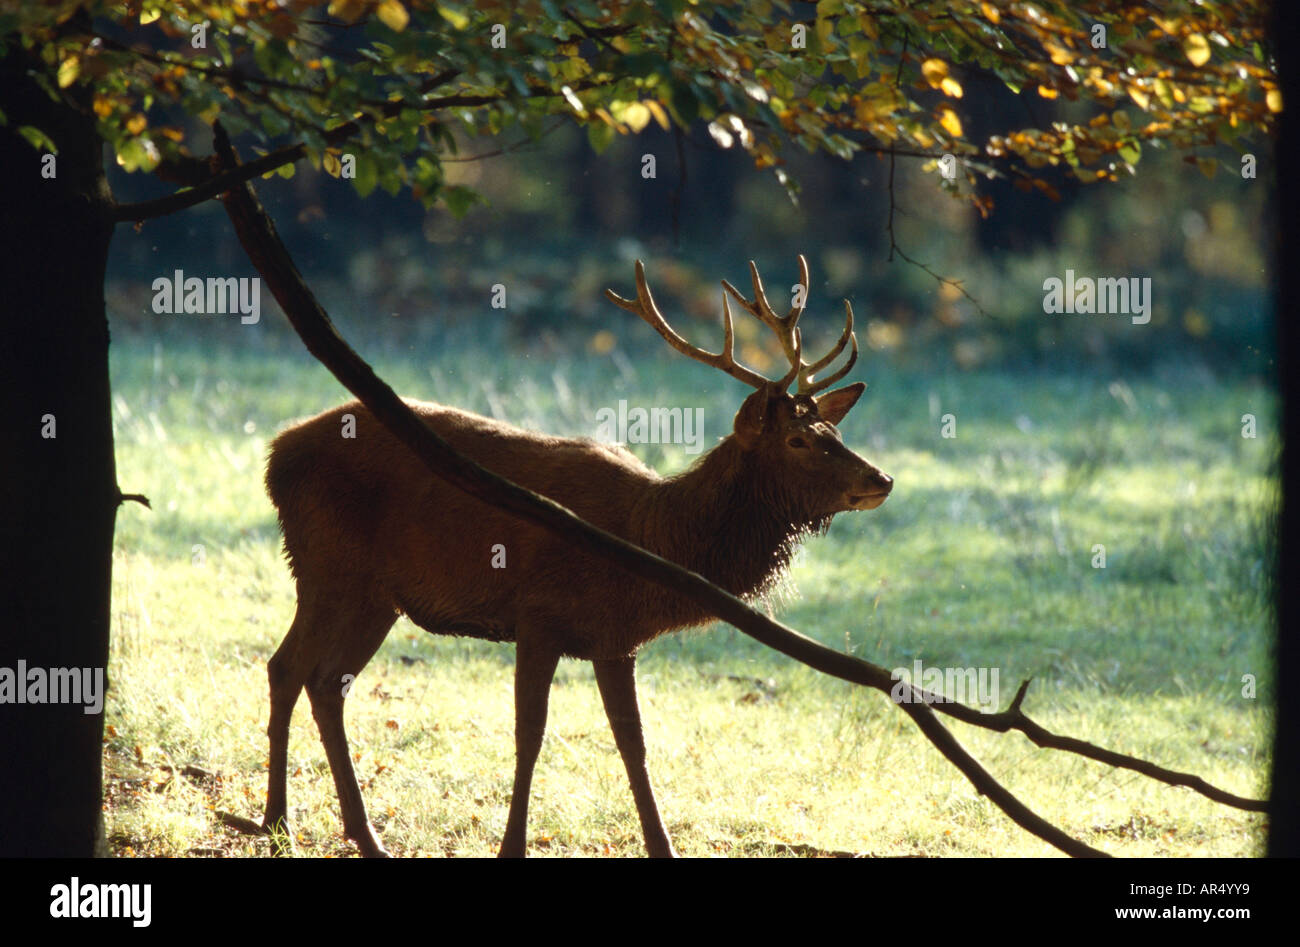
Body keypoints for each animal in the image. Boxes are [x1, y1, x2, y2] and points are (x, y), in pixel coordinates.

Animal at [261, 256, 893, 857]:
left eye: (834, 432)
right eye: (798, 440)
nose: (880, 479)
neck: (650, 541)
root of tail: (275, 454)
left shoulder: (615, 640)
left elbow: (633, 741)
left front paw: (663, 847)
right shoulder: (538, 617)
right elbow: (530, 734)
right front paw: (511, 847)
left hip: (373, 594)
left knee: (323, 681)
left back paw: (350, 834)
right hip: (328, 567)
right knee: (289, 667)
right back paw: (284, 824)